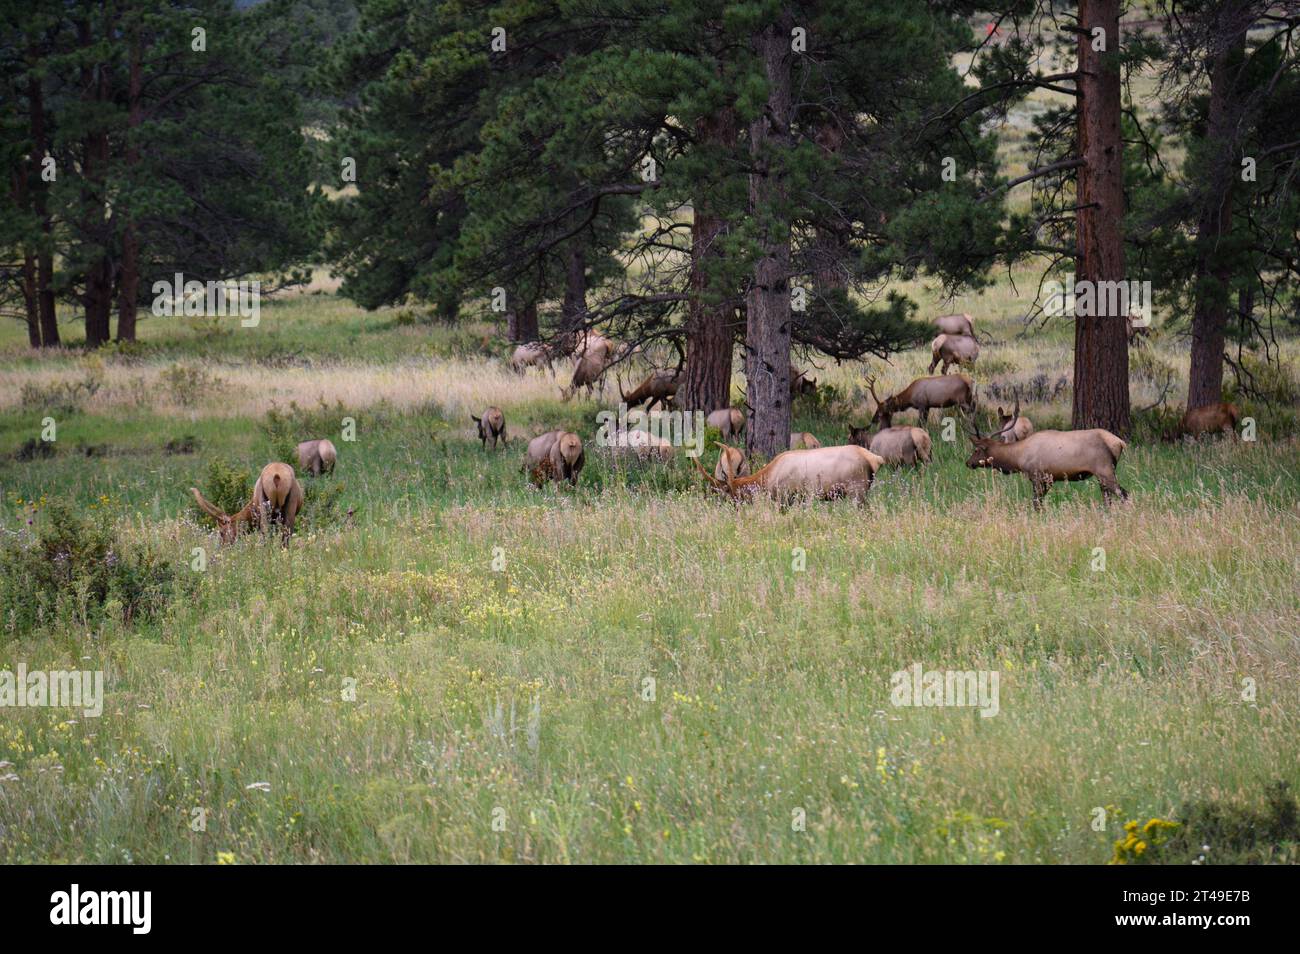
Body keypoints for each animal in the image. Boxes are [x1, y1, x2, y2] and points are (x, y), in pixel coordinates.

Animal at [695, 442, 884, 504]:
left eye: (735, 495)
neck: (768, 479)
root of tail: (875, 459)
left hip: (856, 489)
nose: (735, 509)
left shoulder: (785, 496)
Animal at [965, 399, 1128, 510]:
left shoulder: (1036, 475)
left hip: (1105, 470)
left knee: (1124, 494)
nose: (968, 463)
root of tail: (1120, 443)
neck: (1018, 458)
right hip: (1103, 476)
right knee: (1108, 500)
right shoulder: (1049, 479)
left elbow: (1036, 503)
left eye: (976, 450)